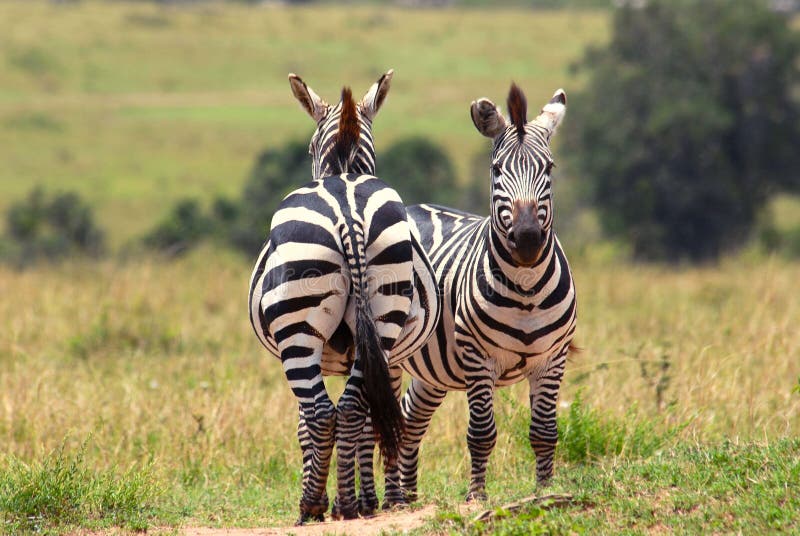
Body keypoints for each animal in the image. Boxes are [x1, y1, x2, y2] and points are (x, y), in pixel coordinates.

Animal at [248, 71, 439, 523]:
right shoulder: (388, 356)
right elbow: (373, 420)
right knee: (352, 409)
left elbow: (304, 426)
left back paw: (312, 504)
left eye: (308, 148)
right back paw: (352, 504)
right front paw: (373, 498)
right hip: (384, 315)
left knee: (321, 413)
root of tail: (348, 209)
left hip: (298, 330)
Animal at [384, 83, 577, 504]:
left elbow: (544, 432)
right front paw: (476, 497)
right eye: (496, 170)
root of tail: (411, 207)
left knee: (410, 418)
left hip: (433, 369)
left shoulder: (552, 358)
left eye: (549, 168)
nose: (527, 239)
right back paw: (391, 499)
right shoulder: (477, 357)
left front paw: (545, 492)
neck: (525, 290)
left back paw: (407, 496)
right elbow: (481, 433)